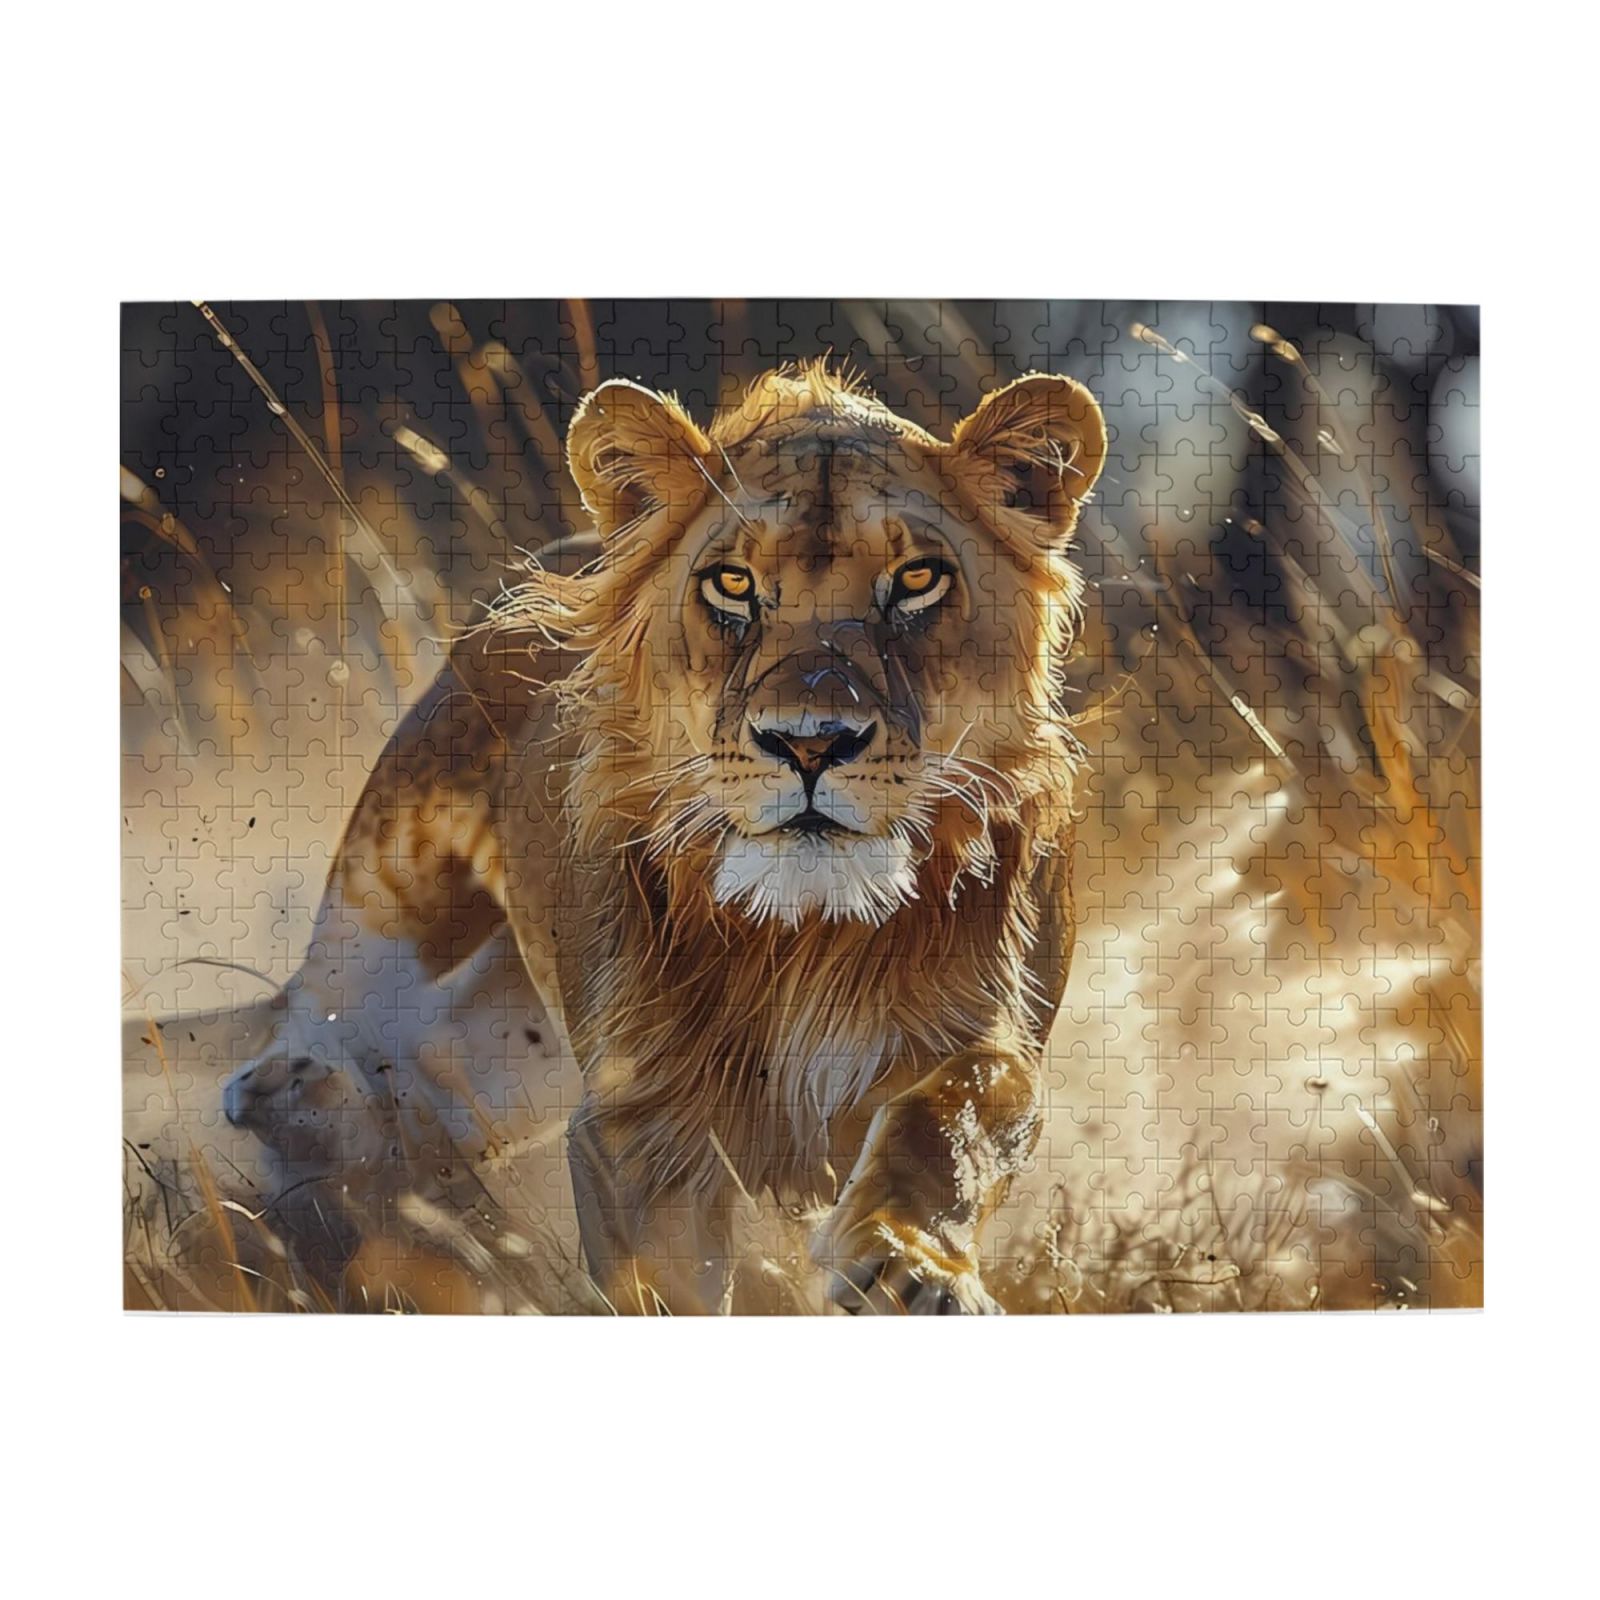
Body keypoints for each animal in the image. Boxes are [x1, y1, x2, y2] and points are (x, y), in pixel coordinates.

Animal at [221, 363, 1109, 1314]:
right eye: (731, 584)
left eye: (916, 580)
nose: (810, 743)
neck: (808, 934)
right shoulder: (638, 1117)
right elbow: (667, 1282)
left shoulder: (989, 1033)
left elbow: (960, 1120)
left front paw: (913, 1268)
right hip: (391, 874)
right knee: (324, 998)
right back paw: (284, 1095)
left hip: (525, 1035)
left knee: (437, 1079)